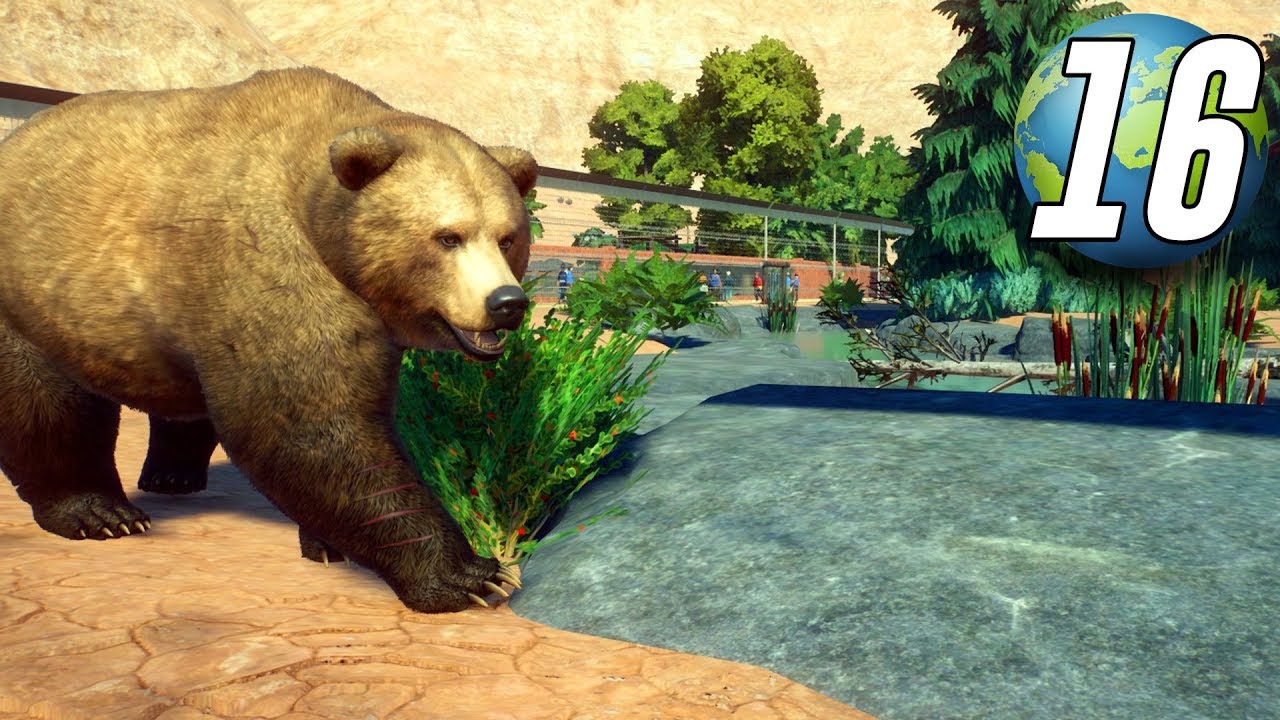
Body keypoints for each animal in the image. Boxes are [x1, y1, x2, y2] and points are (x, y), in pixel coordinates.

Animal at [0, 67, 534, 613]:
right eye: (449, 237)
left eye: (507, 236)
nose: (507, 303)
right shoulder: (269, 267)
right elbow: (314, 428)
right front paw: (471, 575)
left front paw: (326, 543)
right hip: (34, 294)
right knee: (46, 400)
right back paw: (101, 513)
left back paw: (172, 476)